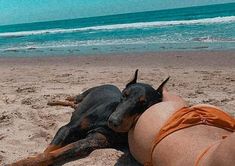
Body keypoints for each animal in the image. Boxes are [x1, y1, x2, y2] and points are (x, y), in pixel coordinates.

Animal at [11, 69, 169, 165]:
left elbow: (66, 149)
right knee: (74, 99)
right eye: (124, 95)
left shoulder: (95, 140)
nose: (113, 121)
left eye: (143, 103)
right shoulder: (68, 128)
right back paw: (54, 100)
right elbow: (50, 149)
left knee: (74, 105)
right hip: (85, 94)